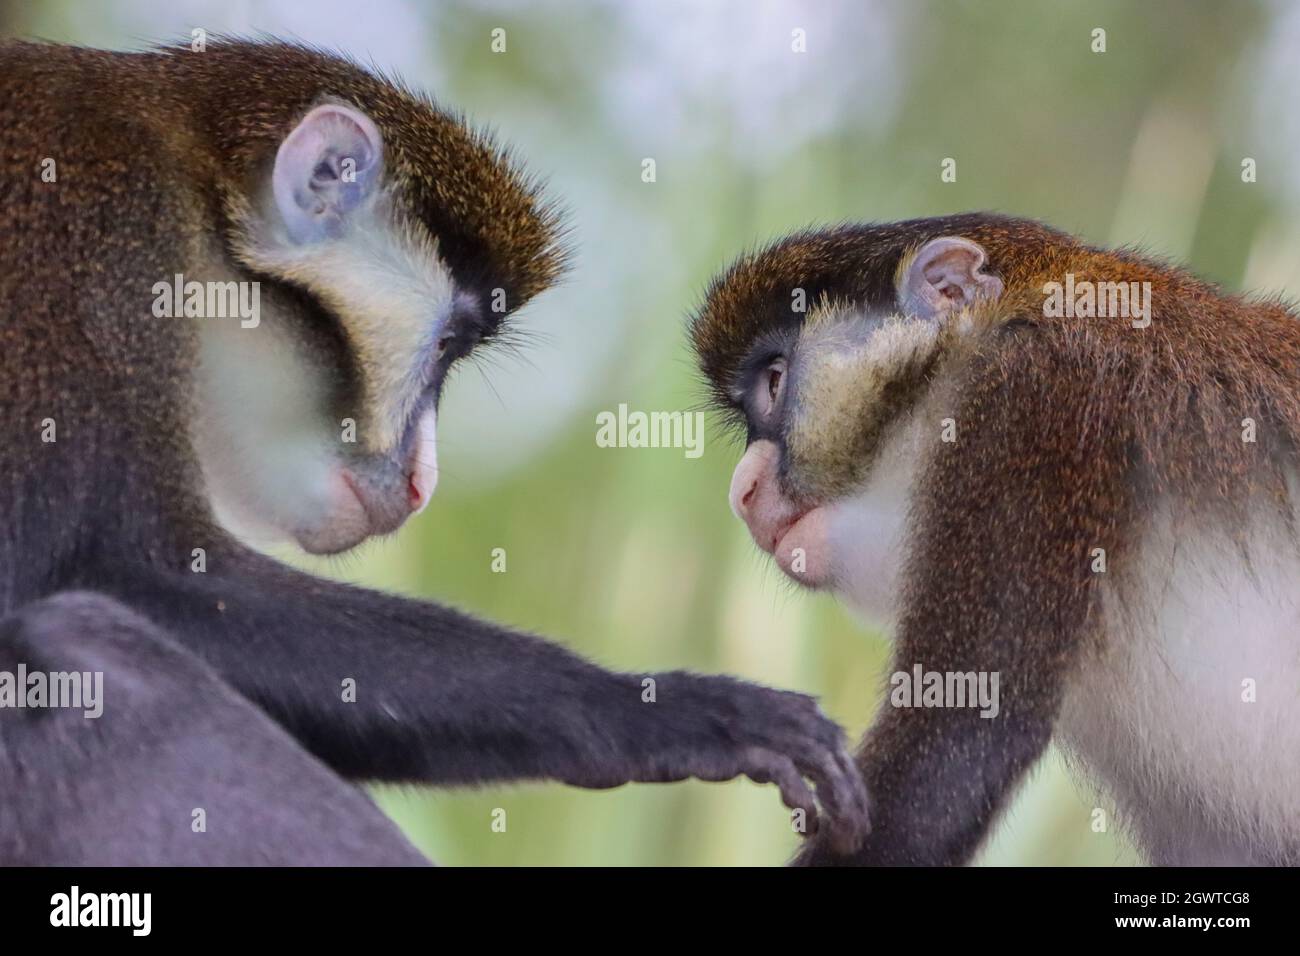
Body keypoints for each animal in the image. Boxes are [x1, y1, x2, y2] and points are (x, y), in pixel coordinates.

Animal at [0, 39, 869, 865]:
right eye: (447, 343)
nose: (422, 481)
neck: (190, 191)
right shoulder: (106, 241)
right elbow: (118, 569)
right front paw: (656, 711)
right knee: (80, 652)